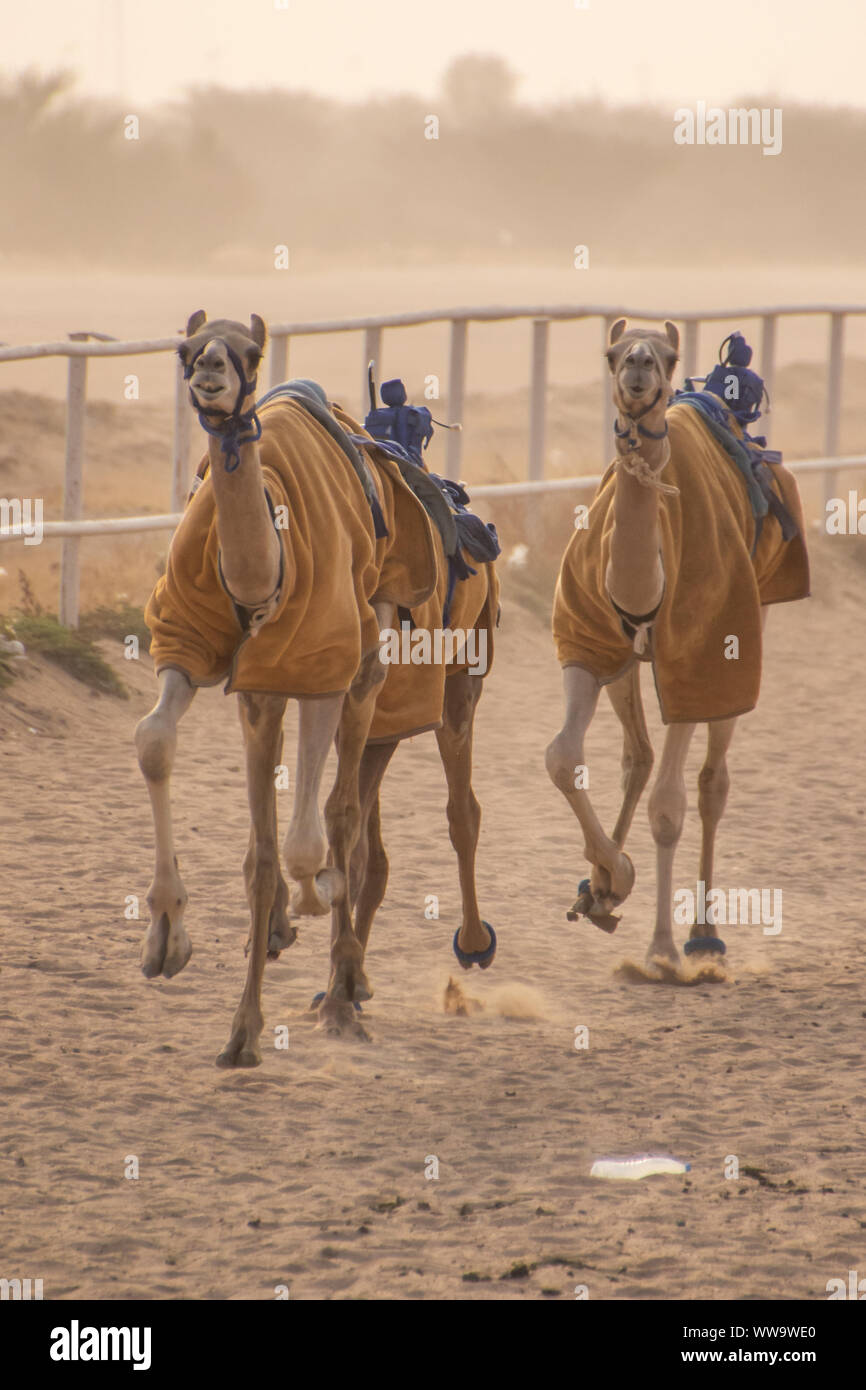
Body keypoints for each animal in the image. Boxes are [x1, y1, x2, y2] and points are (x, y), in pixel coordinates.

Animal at [135, 311, 497, 1066]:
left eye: (249, 353)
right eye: (187, 349)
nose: (209, 374)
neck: (265, 574)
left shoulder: (333, 665)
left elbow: (314, 838)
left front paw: (314, 930)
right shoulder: (223, 663)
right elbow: (172, 759)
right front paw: (197, 973)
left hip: (450, 682)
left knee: (444, 809)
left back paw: (450, 950)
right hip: (376, 715)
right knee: (367, 837)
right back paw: (335, 970)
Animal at [545, 318, 809, 969]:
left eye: (667, 356)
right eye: (612, 352)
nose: (638, 366)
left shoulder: (698, 657)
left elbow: (669, 807)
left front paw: (661, 948)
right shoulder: (587, 644)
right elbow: (563, 757)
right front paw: (613, 877)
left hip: (749, 626)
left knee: (712, 781)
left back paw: (703, 934)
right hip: (629, 663)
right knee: (636, 757)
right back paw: (599, 892)